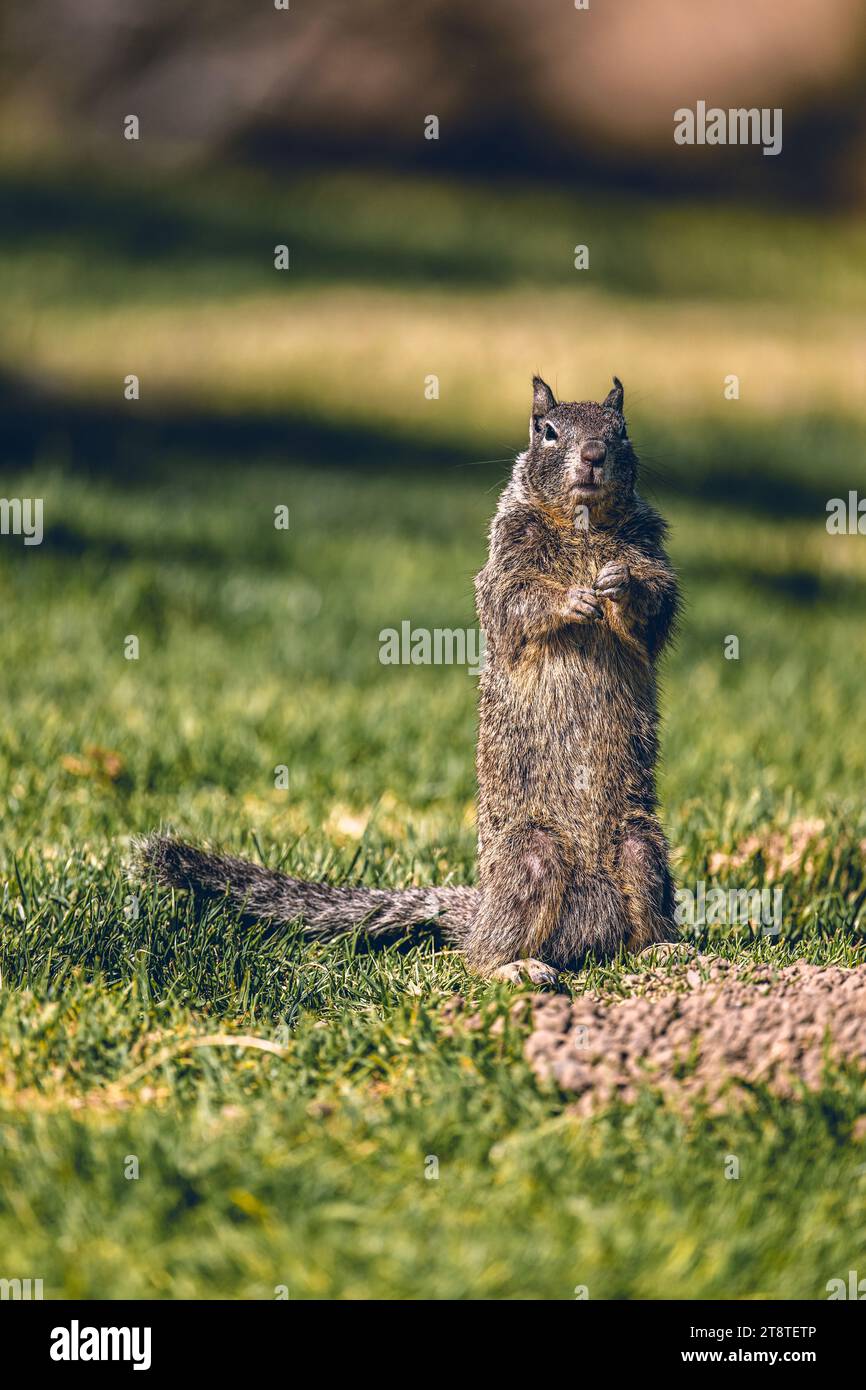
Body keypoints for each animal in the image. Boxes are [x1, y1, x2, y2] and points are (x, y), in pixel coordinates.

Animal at [138, 376, 679, 985]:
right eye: (548, 431)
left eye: (622, 431)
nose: (592, 455)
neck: (584, 525)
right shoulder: (505, 563)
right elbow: (516, 602)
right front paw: (572, 599)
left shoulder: (654, 555)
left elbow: (655, 602)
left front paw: (620, 582)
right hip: (530, 860)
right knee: (479, 954)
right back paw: (514, 967)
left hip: (641, 848)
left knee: (636, 921)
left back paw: (663, 949)